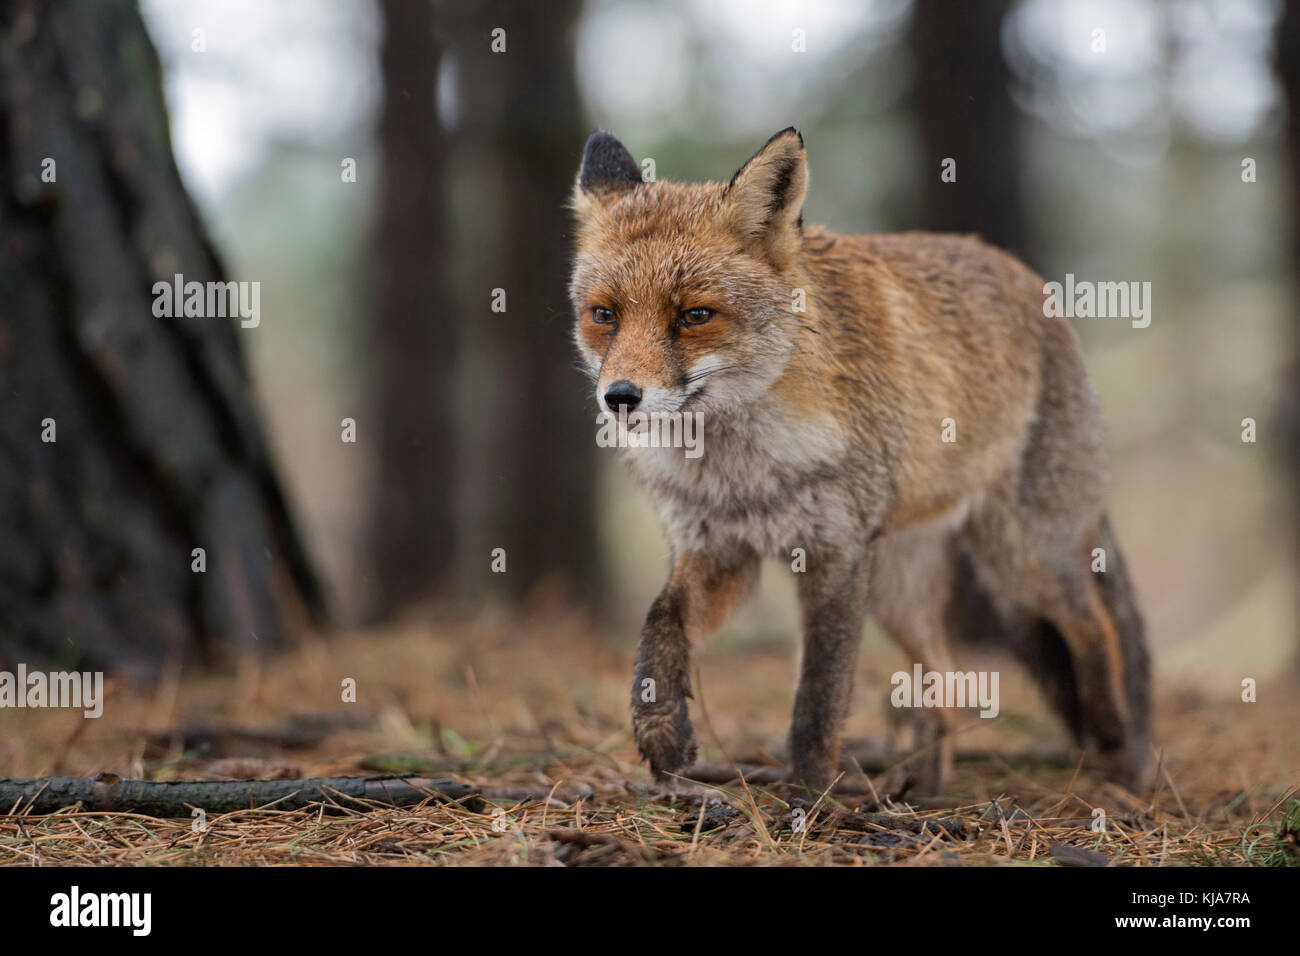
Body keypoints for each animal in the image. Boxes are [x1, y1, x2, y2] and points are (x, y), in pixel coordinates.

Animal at [568, 127, 1150, 793]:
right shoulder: (719, 553)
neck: (742, 471)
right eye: (604, 315)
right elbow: (658, 625)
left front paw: (808, 794)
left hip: (1022, 558)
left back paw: (1116, 746)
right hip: (902, 586)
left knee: (1094, 625)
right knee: (948, 684)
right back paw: (923, 788)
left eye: (693, 315)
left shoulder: (836, 554)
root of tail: (1030, 279)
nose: (619, 397)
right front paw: (661, 729)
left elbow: (818, 700)